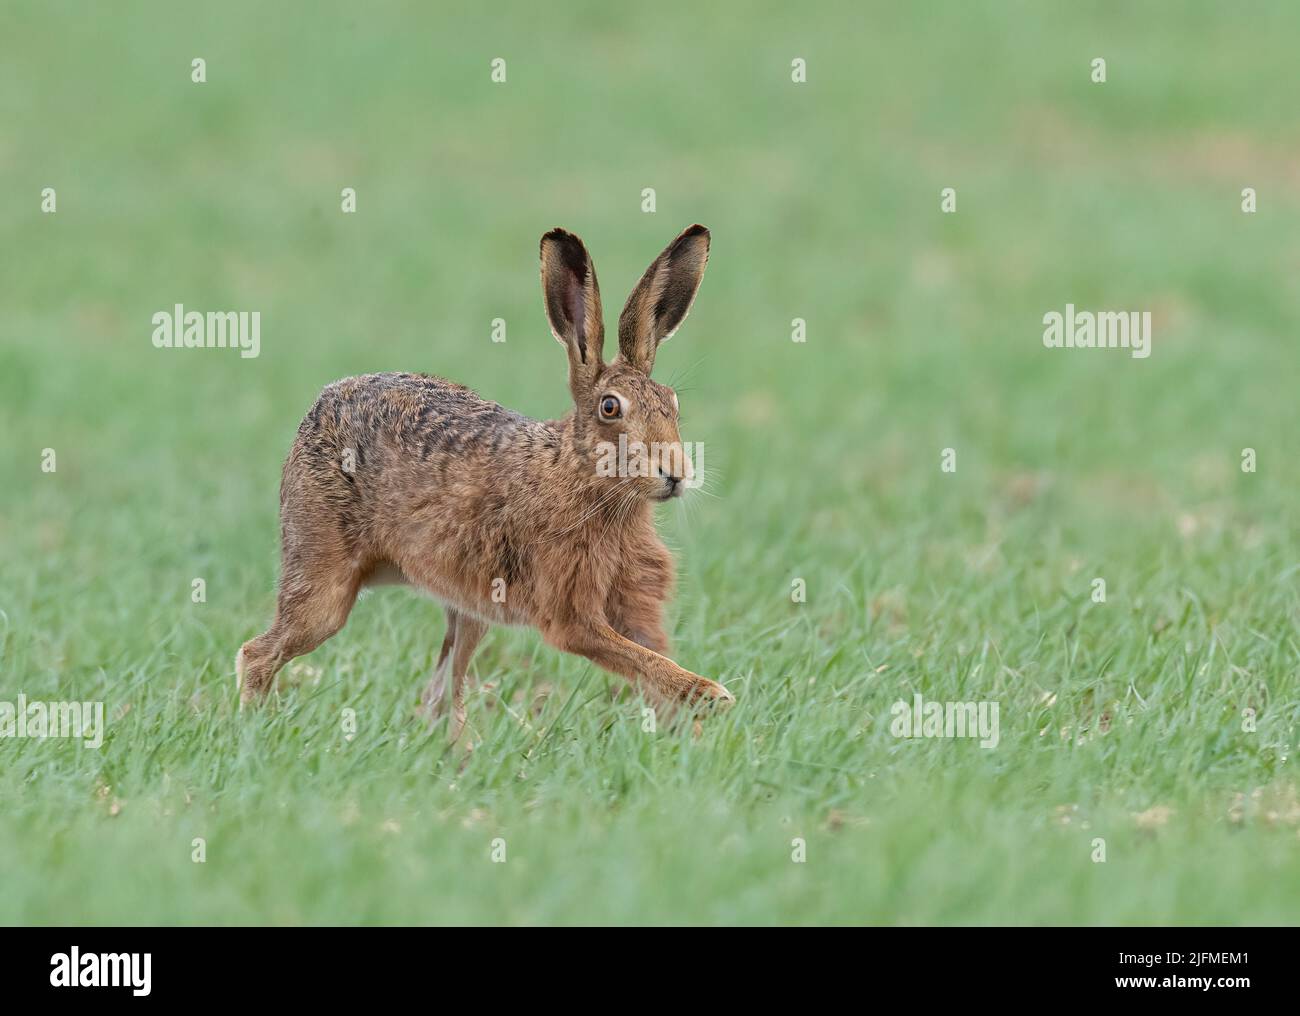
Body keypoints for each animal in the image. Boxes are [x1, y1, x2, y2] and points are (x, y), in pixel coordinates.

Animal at [236, 224, 735, 737]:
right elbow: (636, 657)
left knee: (441, 688)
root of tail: (320, 405)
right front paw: (712, 695)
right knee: (259, 652)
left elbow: (650, 656)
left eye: (673, 403)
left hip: (469, 607)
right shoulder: (570, 614)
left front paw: (688, 732)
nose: (676, 473)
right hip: (324, 579)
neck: (579, 478)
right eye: (610, 407)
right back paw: (254, 726)